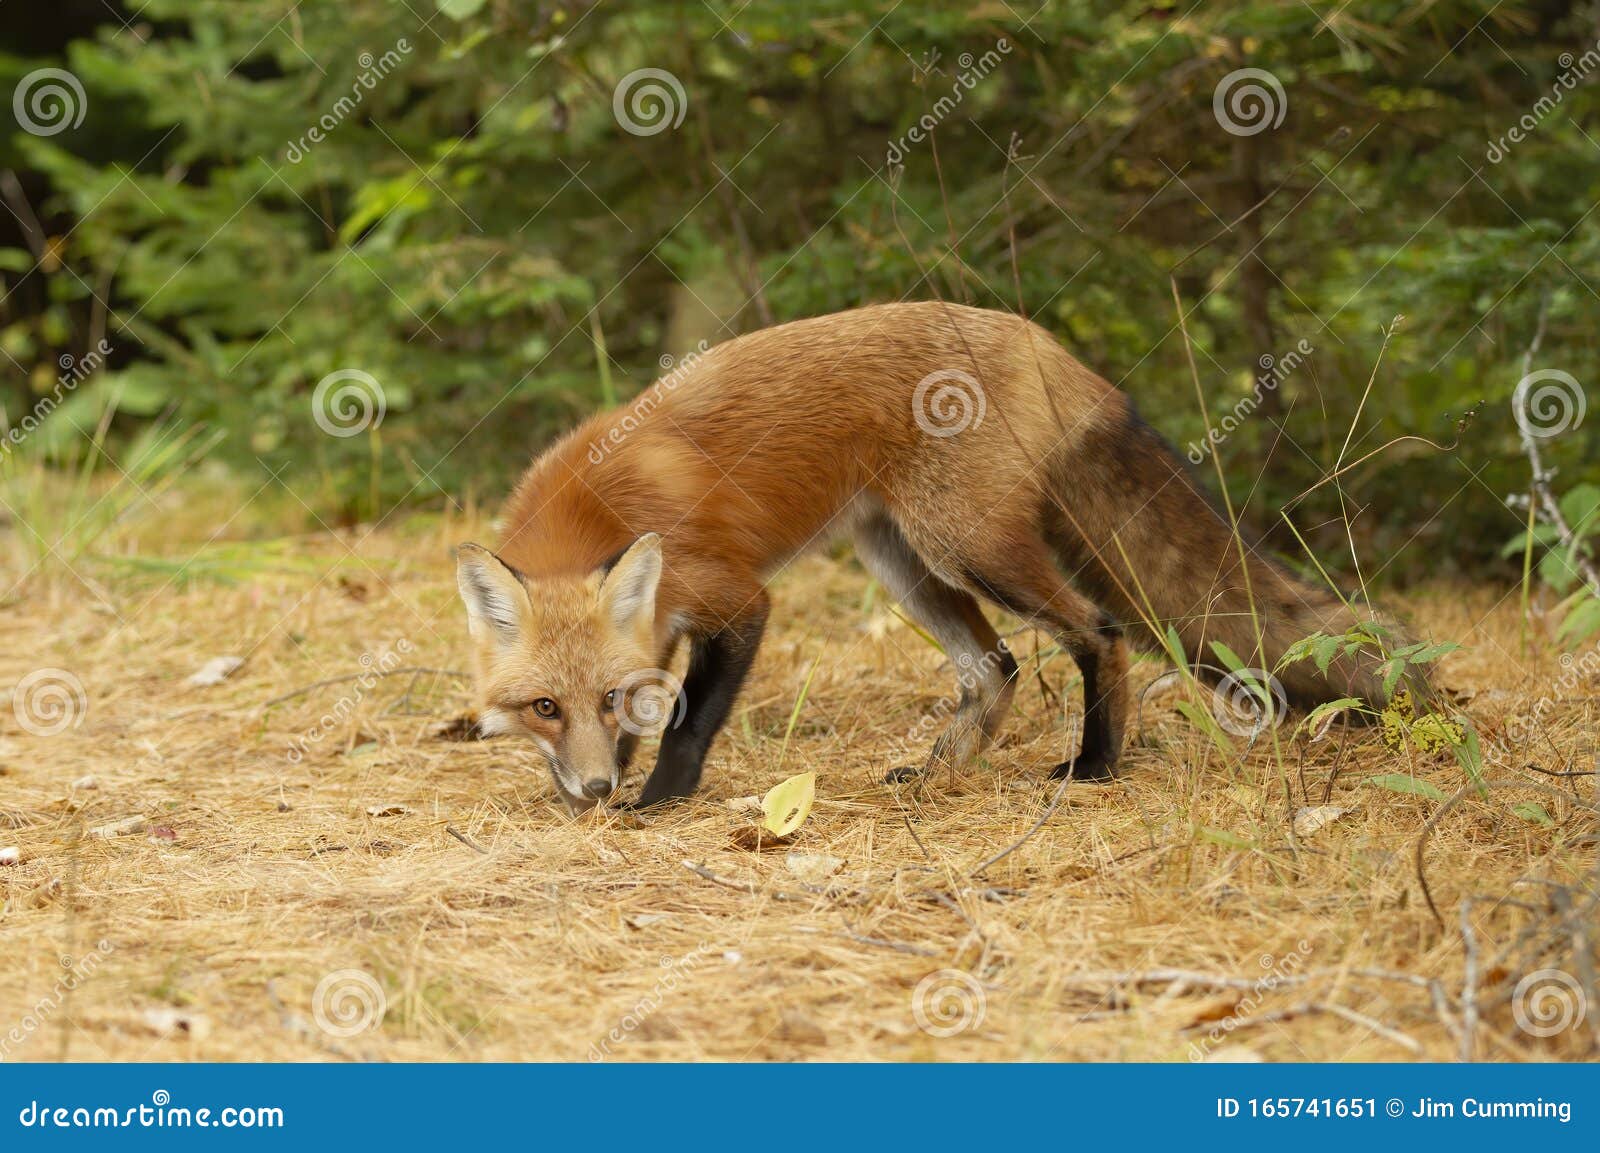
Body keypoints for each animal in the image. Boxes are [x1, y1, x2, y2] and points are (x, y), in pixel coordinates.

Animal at [457, 301, 1393, 813]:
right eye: (544, 706)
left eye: (603, 696)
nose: (591, 795)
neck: (592, 509)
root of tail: (1041, 339)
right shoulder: (662, 629)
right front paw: (608, 782)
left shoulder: (737, 600)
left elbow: (689, 722)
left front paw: (656, 800)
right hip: (902, 560)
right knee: (996, 666)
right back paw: (941, 772)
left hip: (965, 546)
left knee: (1100, 629)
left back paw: (1094, 765)